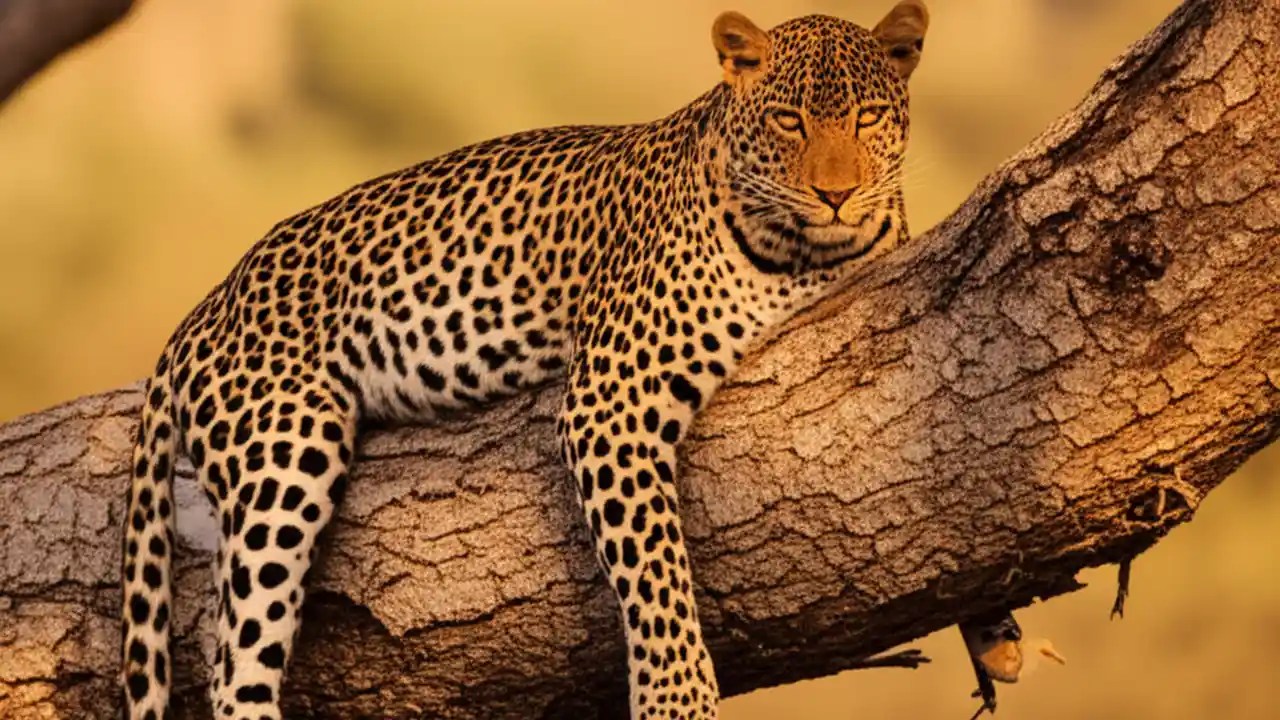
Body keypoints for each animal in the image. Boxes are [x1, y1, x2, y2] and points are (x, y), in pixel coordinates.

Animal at [120, 3, 931, 718]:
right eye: (789, 120)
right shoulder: (611, 396)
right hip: (284, 453)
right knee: (236, 668)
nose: (836, 194)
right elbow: (656, 570)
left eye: (867, 118)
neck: (805, 256)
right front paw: (676, 699)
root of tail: (201, 311)